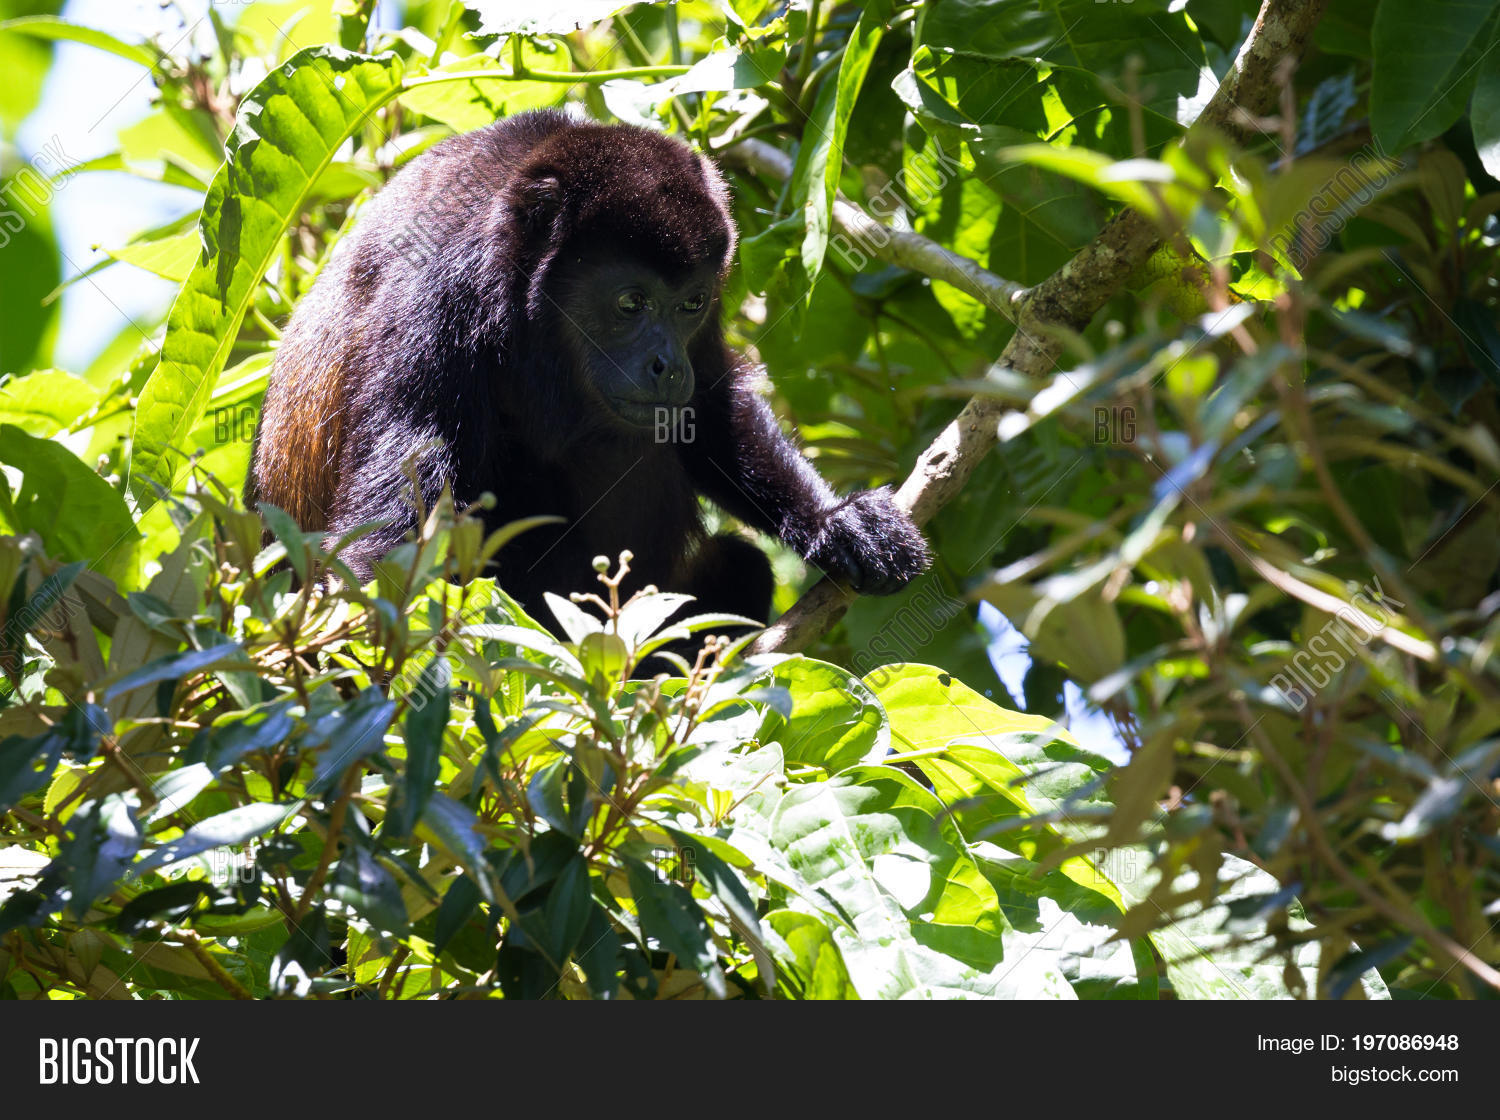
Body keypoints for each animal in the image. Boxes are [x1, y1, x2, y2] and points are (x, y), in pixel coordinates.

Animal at [248, 109, 929, 638]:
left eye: (691, 303)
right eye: (629, 303)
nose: (667, 366)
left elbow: (710, 409)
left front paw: (839, 522)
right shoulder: (434, 294)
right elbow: (398, 521)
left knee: (741, 563)